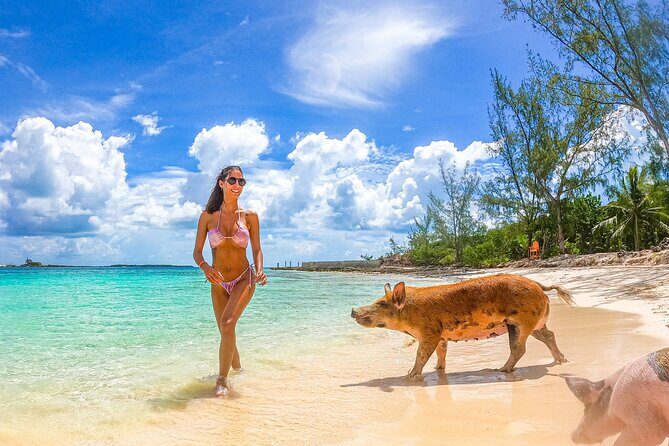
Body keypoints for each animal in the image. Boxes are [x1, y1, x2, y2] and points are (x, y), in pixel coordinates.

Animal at [350, 273, 574, 379]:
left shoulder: (430, 331)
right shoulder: (441, 335)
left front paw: (410, 375)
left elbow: (421, 354)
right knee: (549, 335)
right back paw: (562, 360)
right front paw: (438, 369)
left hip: (520, 322)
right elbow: (441, 352)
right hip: (535, 323)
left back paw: (500, 369)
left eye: (381, 303)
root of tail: (538, 285)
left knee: (519, 348)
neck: (410, 312)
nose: (353, 309)